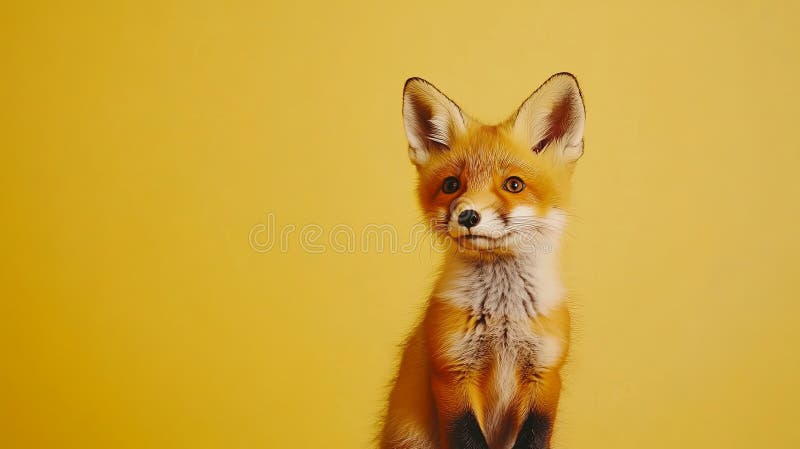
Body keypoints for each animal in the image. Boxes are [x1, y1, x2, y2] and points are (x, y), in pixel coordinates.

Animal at [378, 73, 586, 449]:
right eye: (451, 185)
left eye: (514, 184)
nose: (467, 215)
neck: (504, 318)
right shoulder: (452, 371)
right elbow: (466, 436)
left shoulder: (546, 374)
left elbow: (535, 436)